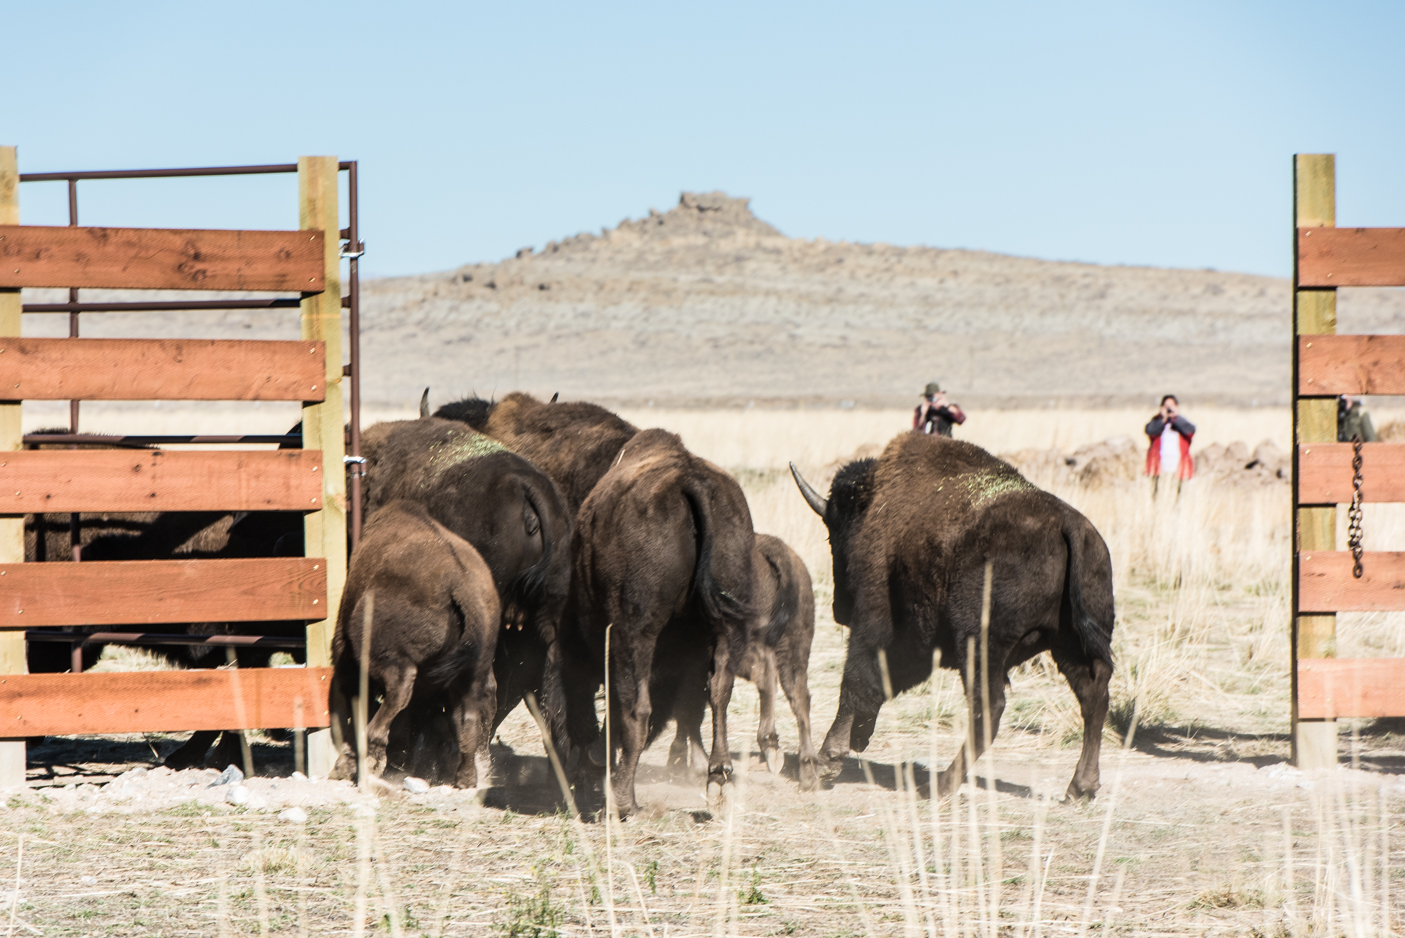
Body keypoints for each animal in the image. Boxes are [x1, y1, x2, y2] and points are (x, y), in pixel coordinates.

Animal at [331, 500, 499, 787]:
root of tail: (462, 585)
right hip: (474, 671)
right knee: (471, 715)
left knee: (399, 688)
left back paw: (372, 757)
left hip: (381, 653)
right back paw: (466, 777)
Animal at [790, 432, 1115, 801]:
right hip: (1070, 644)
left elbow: (856, 682)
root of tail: (1067, 525)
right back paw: (1081, 788)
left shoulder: (877, 623)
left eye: (835, 534)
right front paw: (855, 740)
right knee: (1093, 695)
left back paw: (940, 785)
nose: (838, 608)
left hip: (982, 647)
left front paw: (827, 760)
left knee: (990, 708)